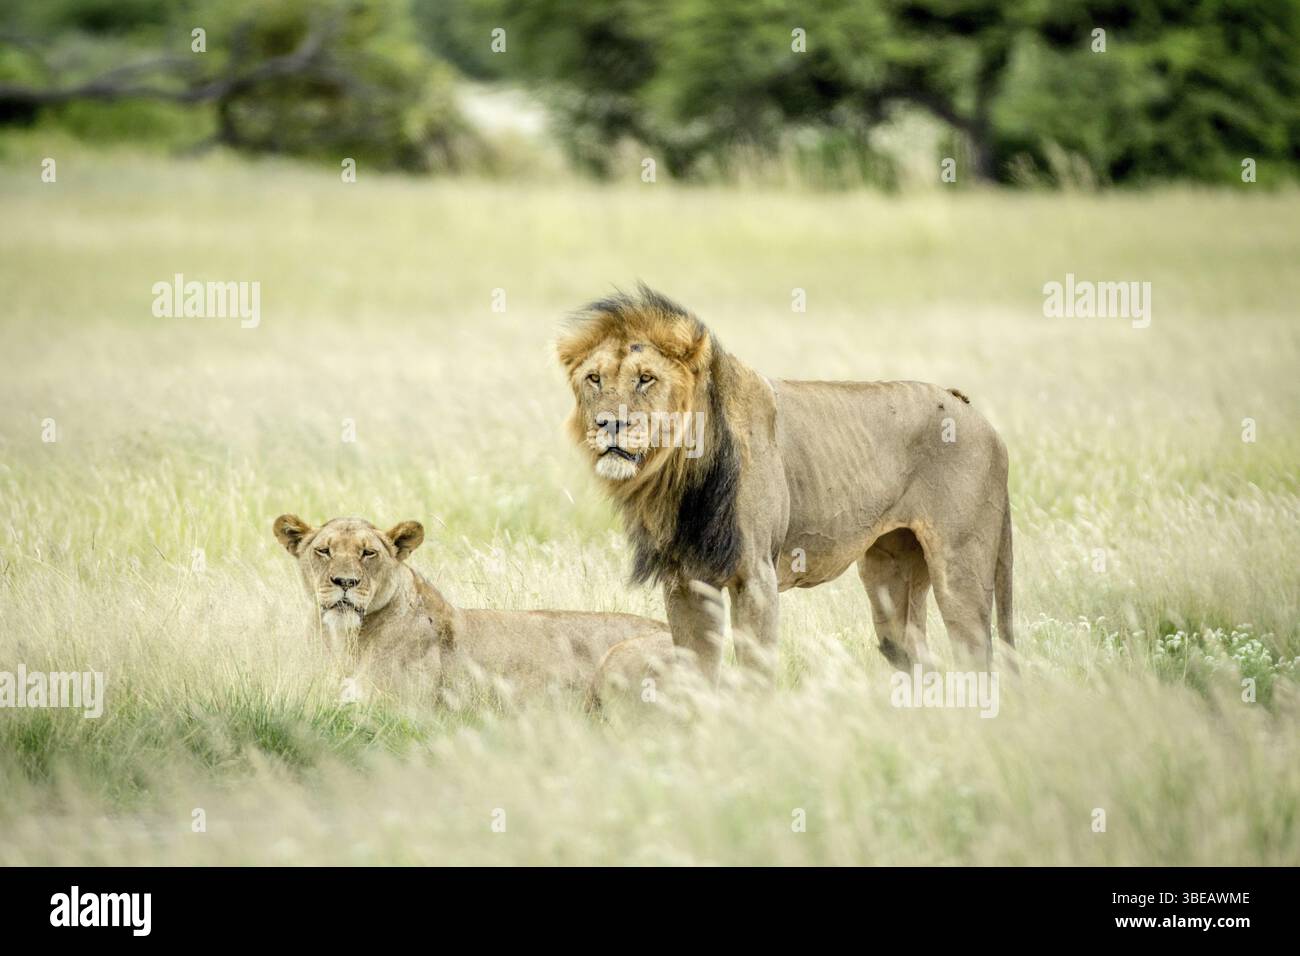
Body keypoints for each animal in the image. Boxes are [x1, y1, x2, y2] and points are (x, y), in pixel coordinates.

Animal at [557, 285, 1015, 680]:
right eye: (595, 378)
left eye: (646, 378)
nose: (610, 424)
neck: (681, 472)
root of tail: (977, 415)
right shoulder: (685, 580)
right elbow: (696, 671)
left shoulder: (756, 576)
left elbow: (755, 671)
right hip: (891, 576)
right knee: (918, 655)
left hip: (960, 568)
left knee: (977, 655)